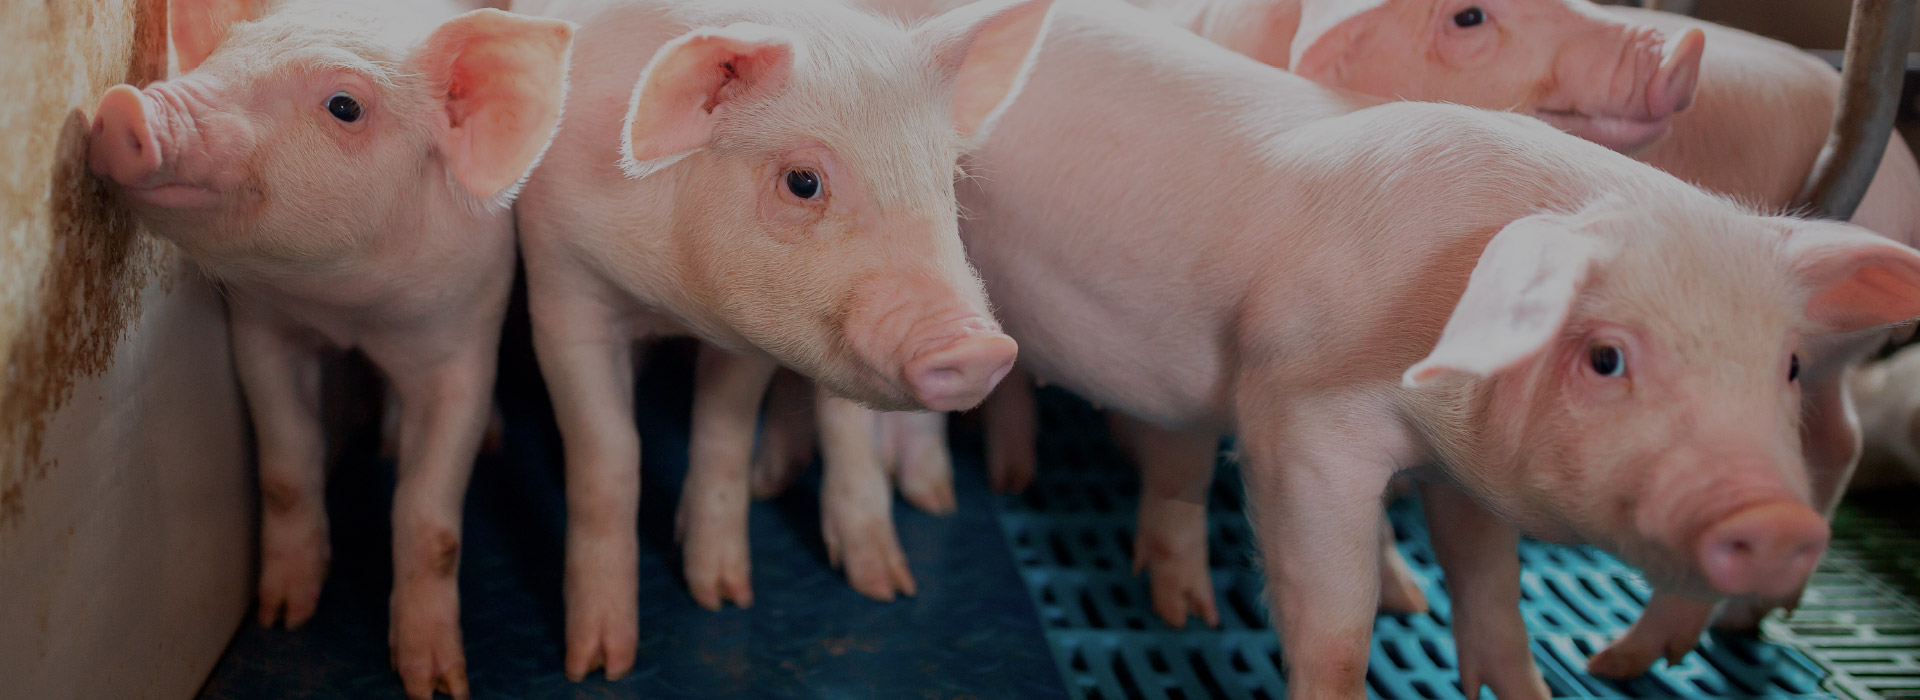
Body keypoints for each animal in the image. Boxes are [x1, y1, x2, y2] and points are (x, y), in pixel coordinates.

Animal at [85, 0, 574, 697]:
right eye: (218, 58)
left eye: (345, 106)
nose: (127, 104)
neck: (349, 309)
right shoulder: (262, 330)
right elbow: (287, 467)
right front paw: (283, 617)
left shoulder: (462, 346)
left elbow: (429, 520)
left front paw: (435, 682)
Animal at [511, 0, 1051, 680]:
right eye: (801, 181)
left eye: (950, 175)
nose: (980, 349)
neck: (667, 300)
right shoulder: (560, 290)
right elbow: (607, 456)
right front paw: (600, 666)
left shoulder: (748, 337)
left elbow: (724, 431)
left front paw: (724, 598)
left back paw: (891, 568)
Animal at [864, 2, 1920, 698]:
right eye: (1606, 358)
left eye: (1785, 364)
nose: (1778, 522)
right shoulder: (1295, 419)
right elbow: (1334, 618)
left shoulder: (1468, 467)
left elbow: (1490, 582)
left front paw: (1533, 687)